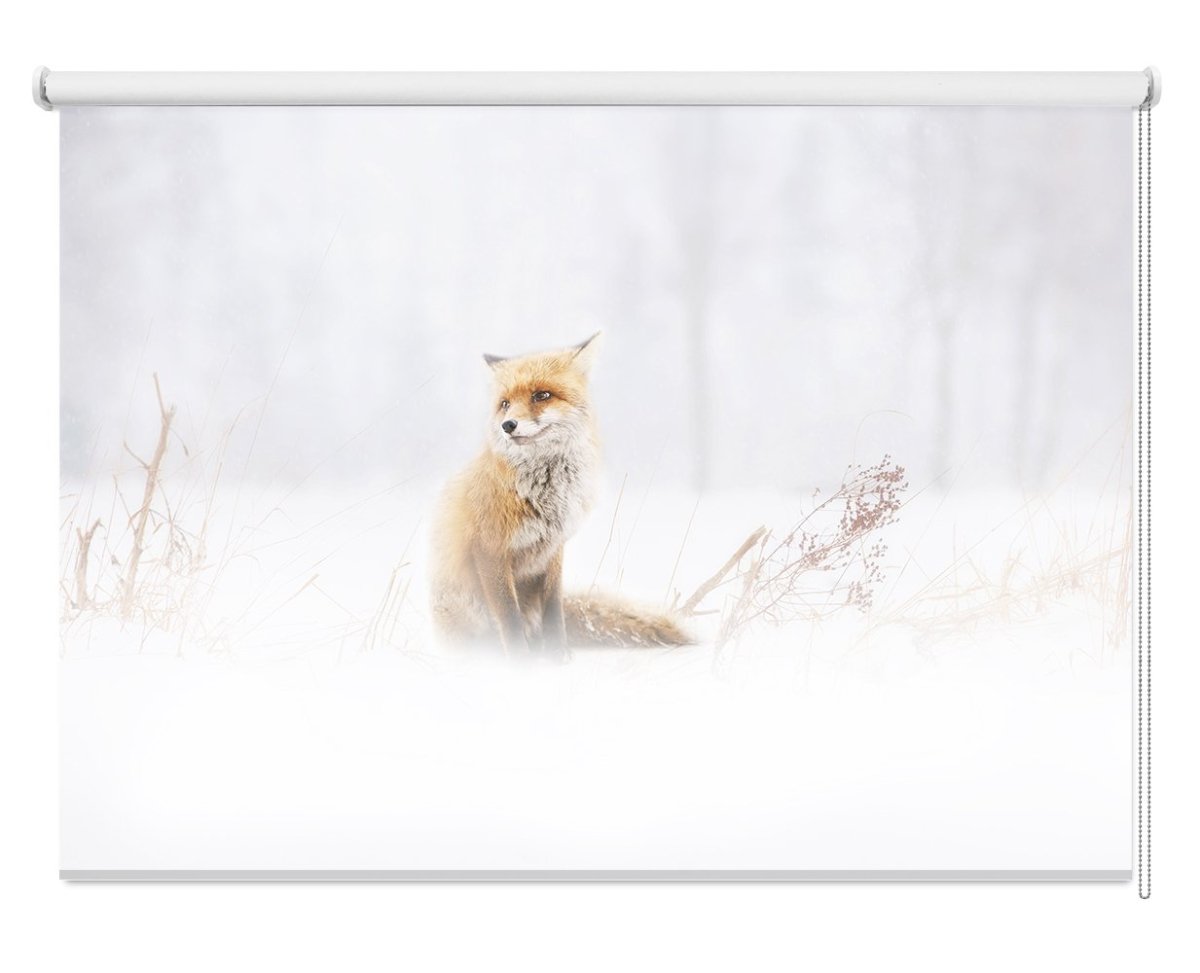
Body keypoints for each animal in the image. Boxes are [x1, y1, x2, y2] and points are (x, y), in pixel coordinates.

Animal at [429, 332, 690, 655]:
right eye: (505, 404)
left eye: (541, 395)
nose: (507, 425)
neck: (546, 497)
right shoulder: (489, 549)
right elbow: (509, 618)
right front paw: (521, 662)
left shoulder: (554, 549)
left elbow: (553, 609)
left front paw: (559, 658)